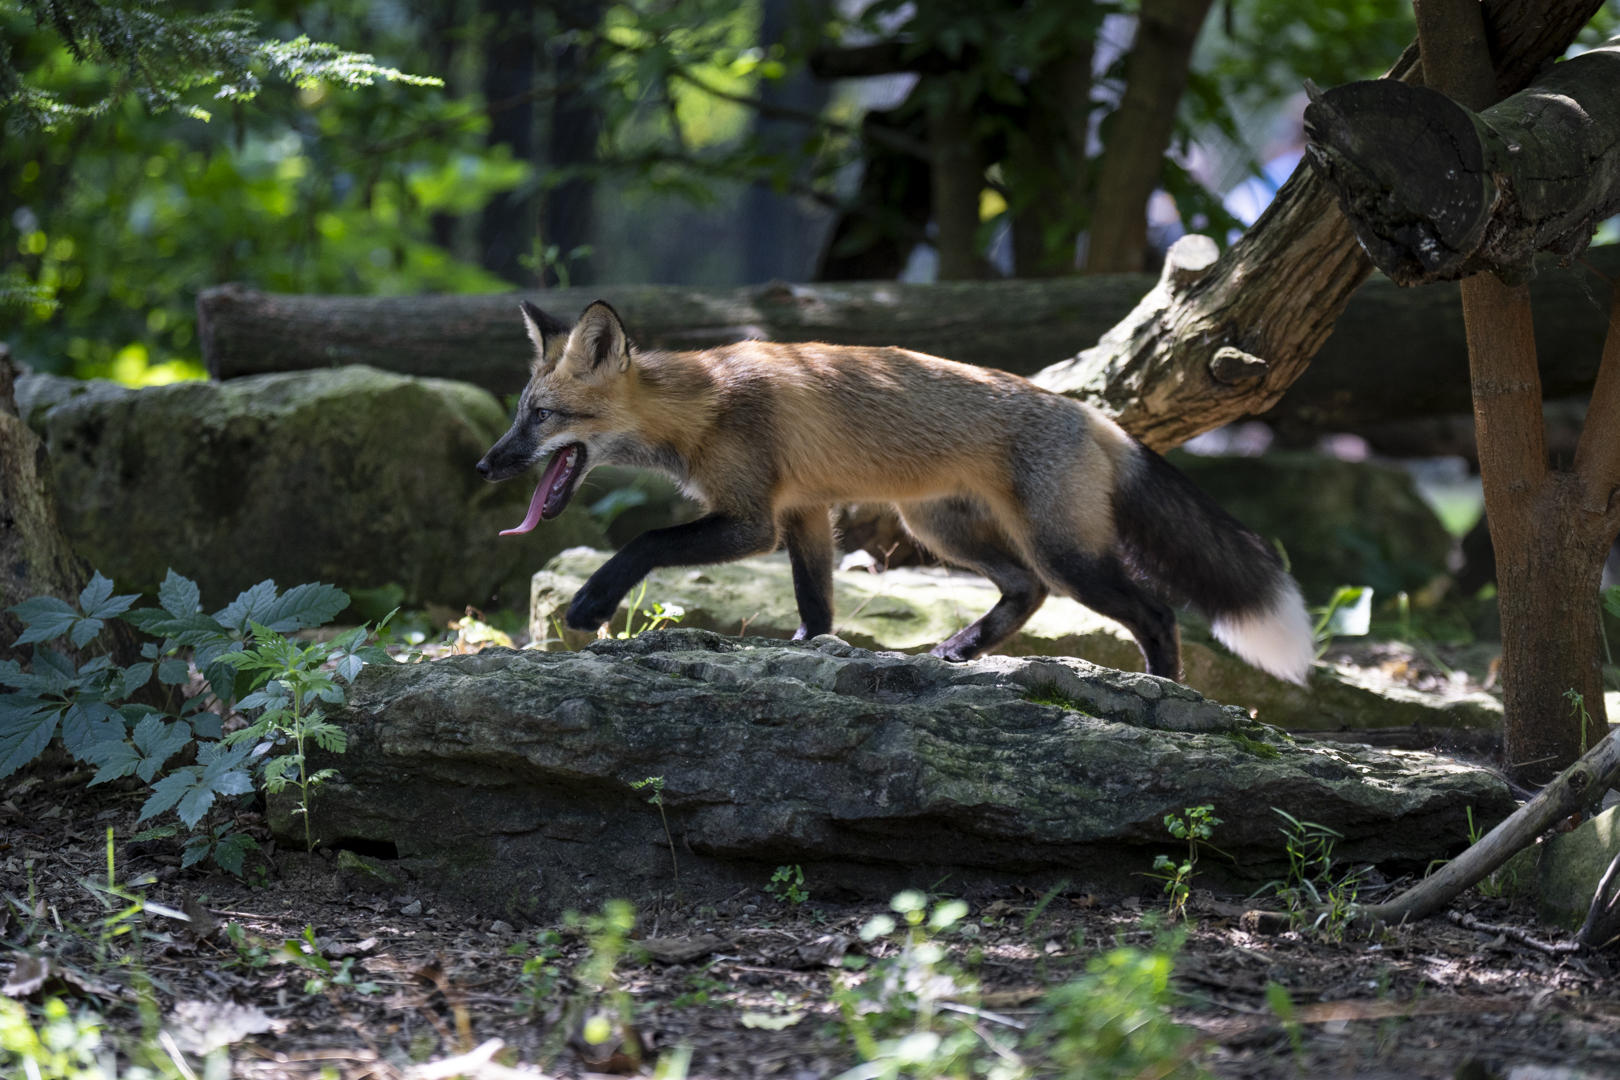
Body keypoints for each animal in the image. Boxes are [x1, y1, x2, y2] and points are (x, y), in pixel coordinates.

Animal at [476, 299, 1314, 685]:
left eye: (541, 417)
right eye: (520, 412)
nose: (486, 465)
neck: (706, 403)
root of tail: (1091, 414)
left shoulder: (752, 520)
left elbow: (645, 539)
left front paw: (590, 604)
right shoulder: (804, 511)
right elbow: (816, 600)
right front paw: (814, 652)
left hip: (1062, 548)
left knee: (1152, 610)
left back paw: (1162, 692)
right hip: (942, 528)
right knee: (1026, 592)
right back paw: (956, 651)